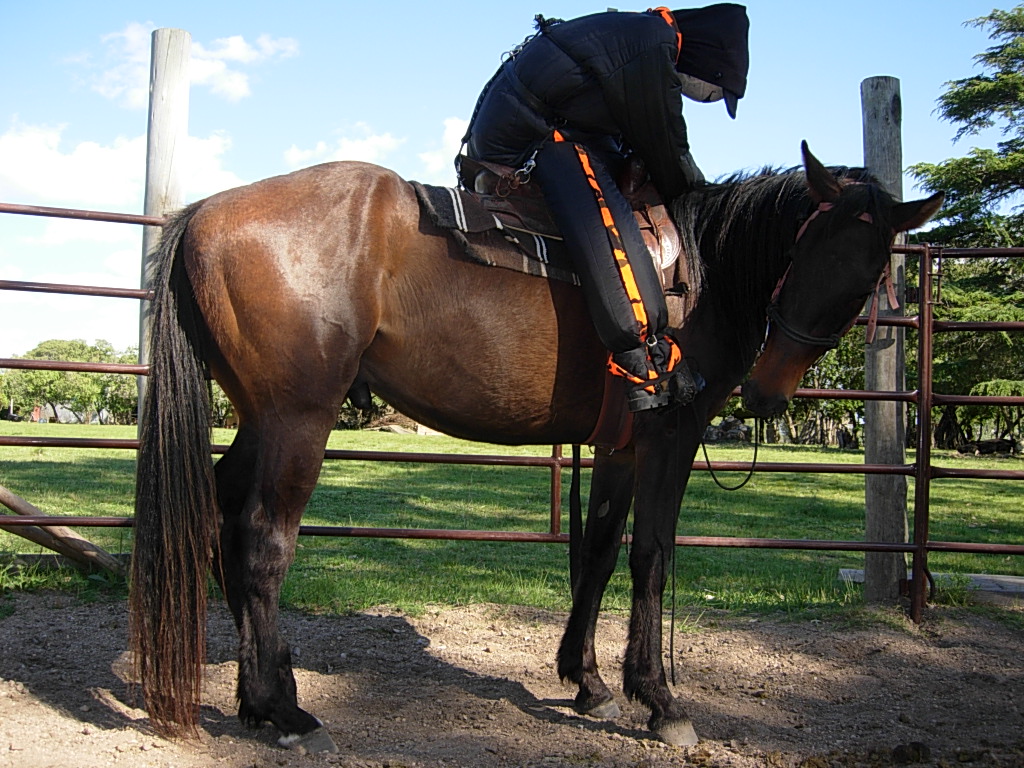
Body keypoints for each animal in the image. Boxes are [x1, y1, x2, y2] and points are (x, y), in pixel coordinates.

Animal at [129, 142, 942, 752]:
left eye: (864, 280)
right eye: (805, 257)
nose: (768, 394)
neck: (704, 271)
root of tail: (203, 212)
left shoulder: (622, 446)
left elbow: (602, 551)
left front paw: (588, 681)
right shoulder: (671, 437)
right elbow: (652, 554)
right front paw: (660, 699)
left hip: (261, 417)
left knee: (221, 520)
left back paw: (256, 699)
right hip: (299, 419)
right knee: (262, 542)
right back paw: (285, 710)